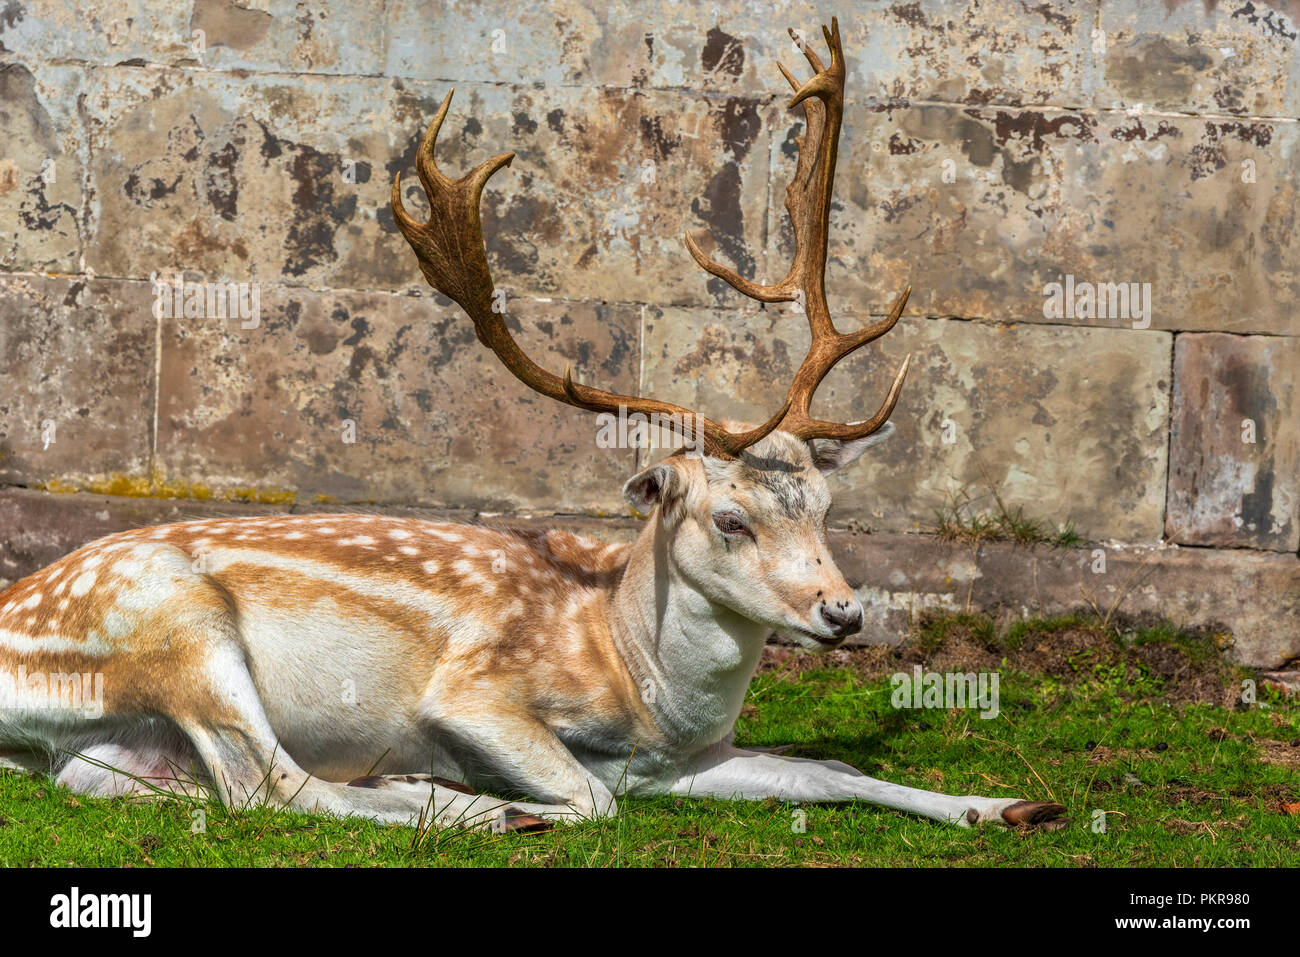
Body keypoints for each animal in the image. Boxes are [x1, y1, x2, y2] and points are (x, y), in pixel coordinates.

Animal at [0, 18, 1065, 834]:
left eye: (824, 504)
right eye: (730, 519)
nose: (843, 613)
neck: (641, 685)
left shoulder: (691, 758)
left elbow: (828, 770)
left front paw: (1008, 804)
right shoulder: (477, 691)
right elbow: (594, 794)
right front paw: (495, 787)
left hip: (113, 745)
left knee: (168, 782)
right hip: (179, 626)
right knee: (276, 786)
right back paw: (475, 803)